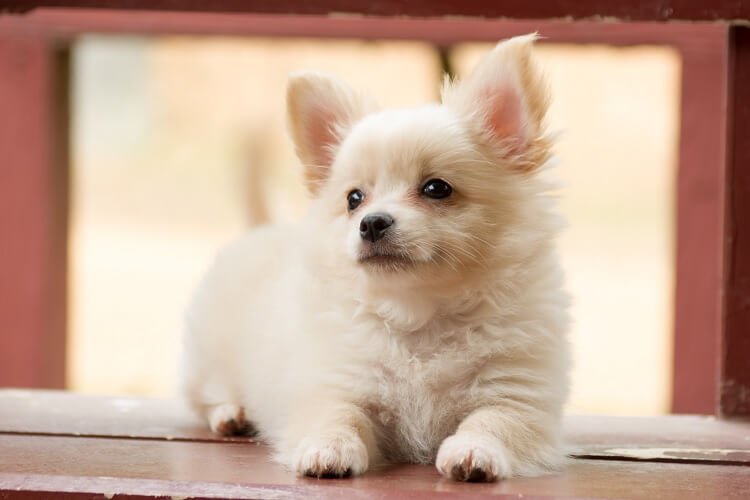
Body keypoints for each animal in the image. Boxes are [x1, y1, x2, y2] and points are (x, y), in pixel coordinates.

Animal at [182, 34, 568, 480]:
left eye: (436, 188)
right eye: (354, 199)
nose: (371, 223)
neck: (420, 316)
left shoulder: (516, 395)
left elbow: (493, 422)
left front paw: (474, 452)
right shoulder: (336, 384)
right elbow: (340, 416)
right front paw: (328, 450)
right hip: (206, 359)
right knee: (206, 397)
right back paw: (231, 413)